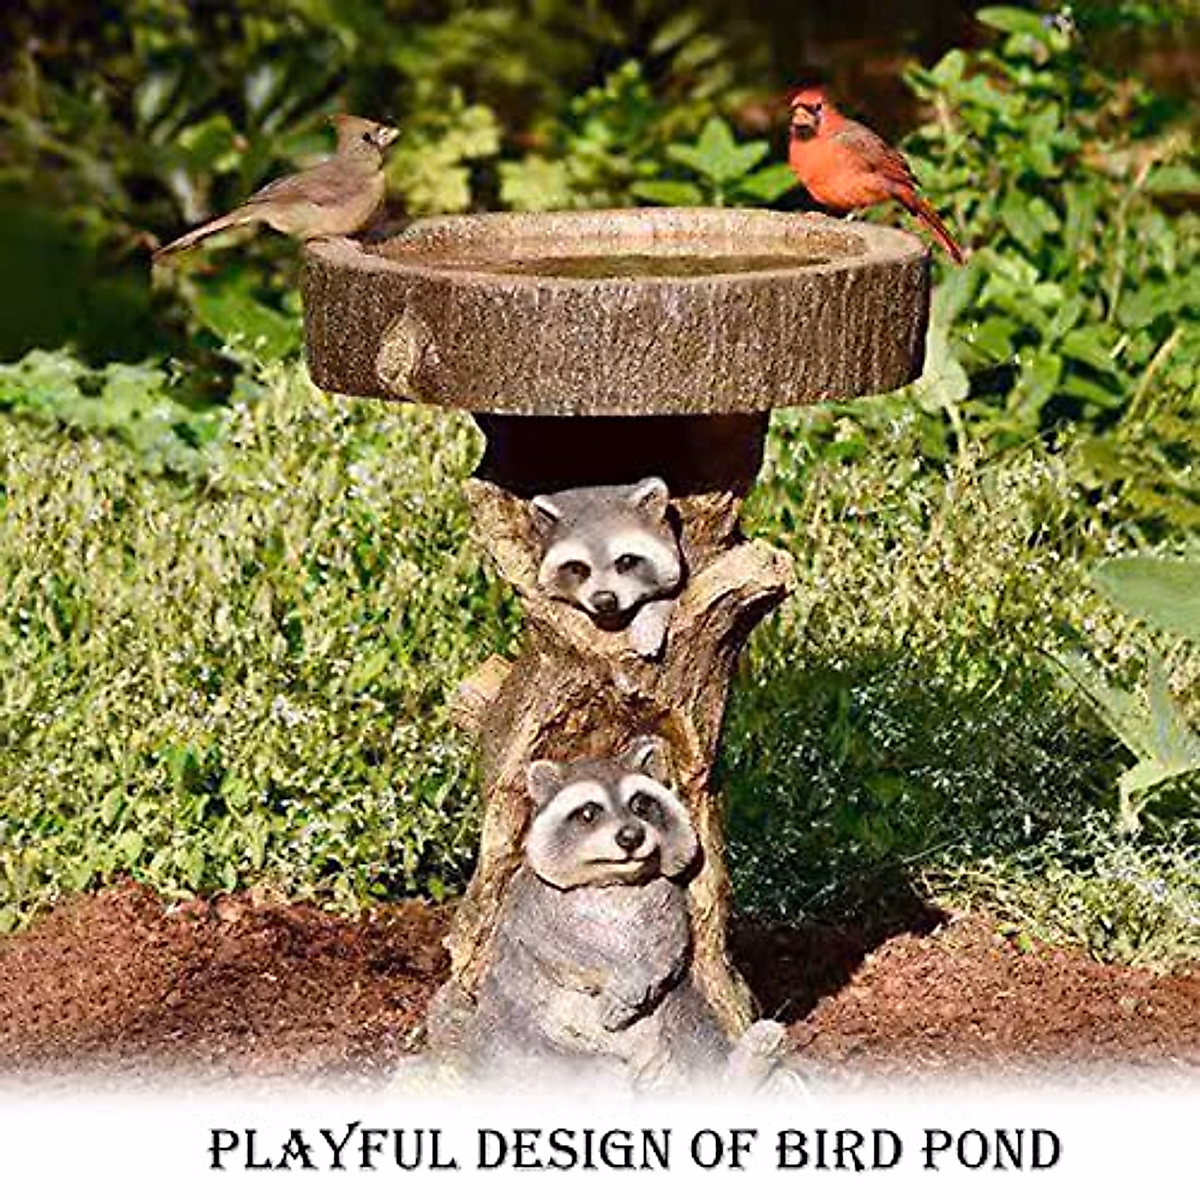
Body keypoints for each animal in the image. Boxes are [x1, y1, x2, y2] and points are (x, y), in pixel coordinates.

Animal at [463, 737, 784, 1090]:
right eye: (588, 813)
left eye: (641, 805)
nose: (631, 836)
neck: (614, 879)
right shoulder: (531, 900)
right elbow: (557, 947)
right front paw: (611, 972)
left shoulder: (666, 893)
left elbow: (670, 941)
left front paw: (639, 977)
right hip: (520, 1042)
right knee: (593, 1073)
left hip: (680, 1010)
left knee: (696, 1032)